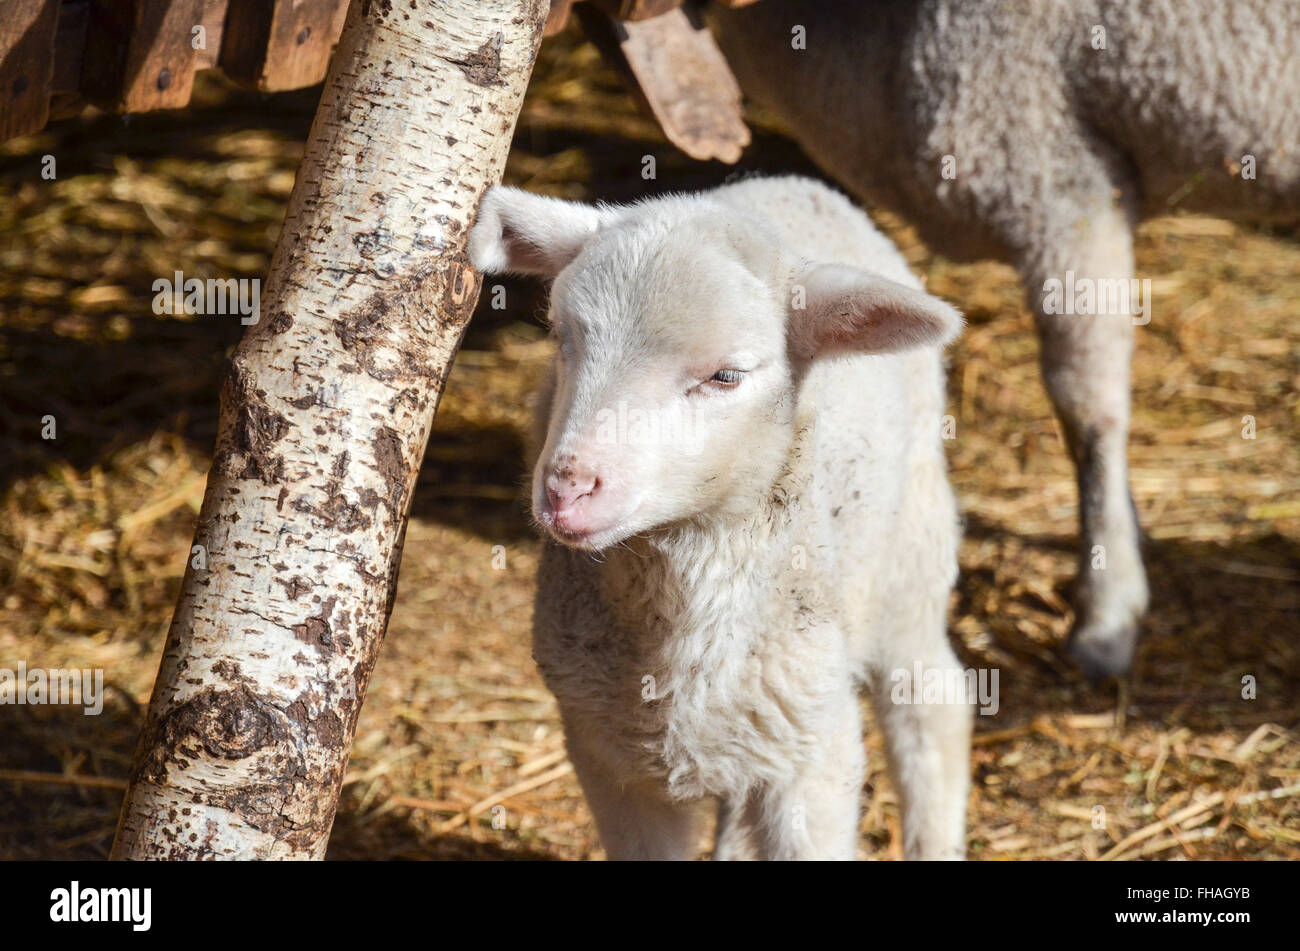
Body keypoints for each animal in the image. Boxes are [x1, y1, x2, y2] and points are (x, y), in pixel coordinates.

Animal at [468, 176, 972, 860]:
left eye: (725, 376)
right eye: (563, 338)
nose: (567, 489)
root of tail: (798, 184)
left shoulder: (814, 749)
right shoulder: (606, 754)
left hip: (910, 553)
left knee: (933, 706)